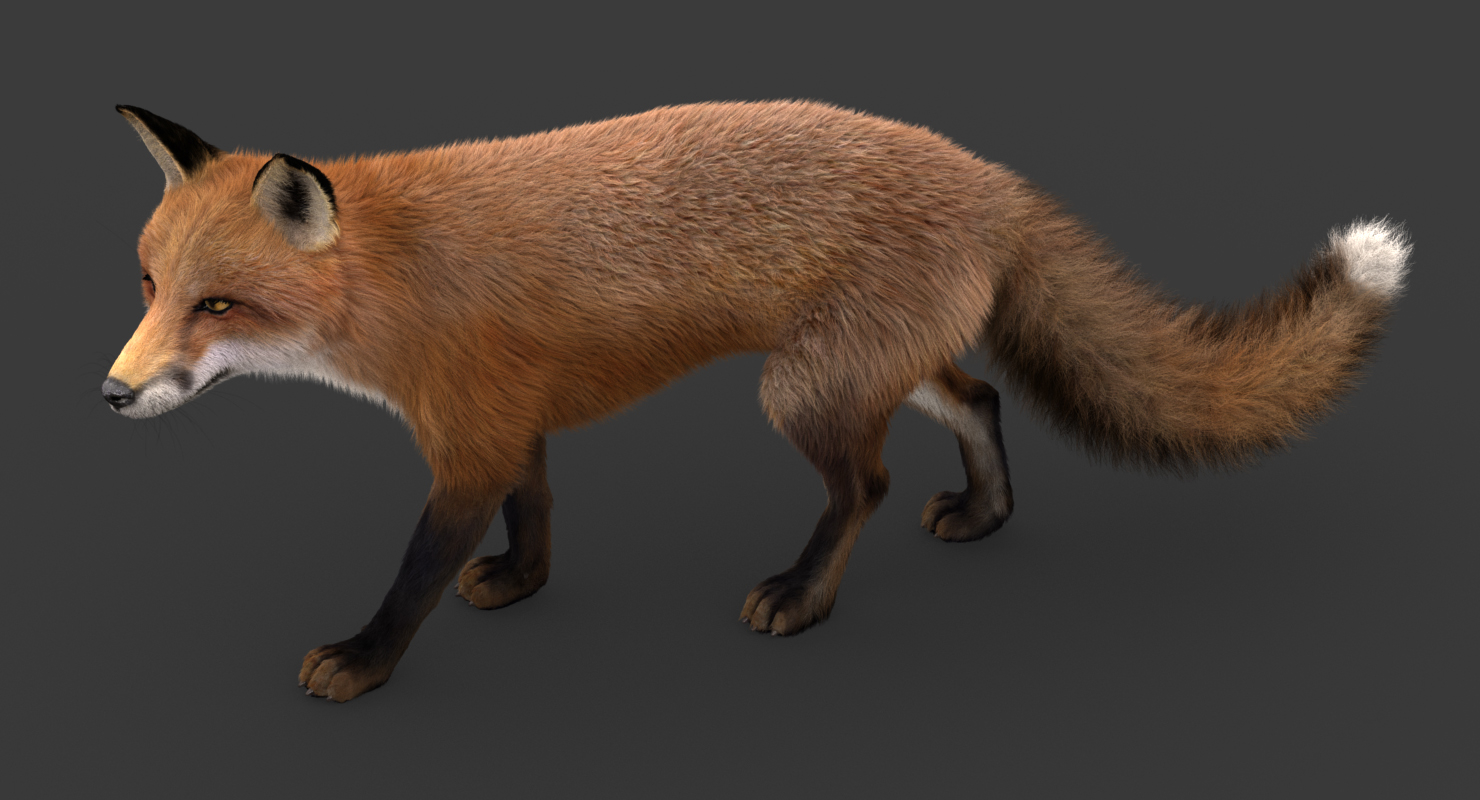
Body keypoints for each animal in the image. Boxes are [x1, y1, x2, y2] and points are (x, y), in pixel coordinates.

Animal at [104, 101, 1409, 702]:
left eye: (220, 304)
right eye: (150, 285)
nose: (112, 392)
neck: (396, 274)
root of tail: (991, 176)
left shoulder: (466, 433)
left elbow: (418, 566)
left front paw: (365, 657)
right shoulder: (513, 414)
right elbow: (536, 510)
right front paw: (521, 583)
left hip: (804, 390)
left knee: (866, 482)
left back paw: (803, 595)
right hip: (879, 363)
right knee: (983, 397)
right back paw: (983, 514)